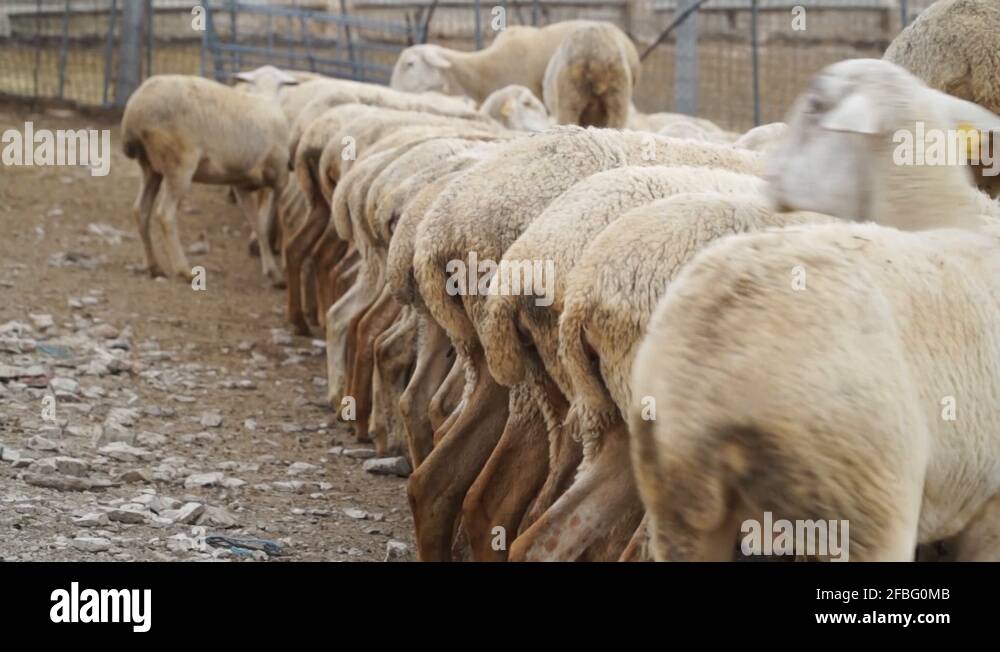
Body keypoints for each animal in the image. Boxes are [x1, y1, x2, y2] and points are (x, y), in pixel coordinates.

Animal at [121, 73, 296, 285]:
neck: (266, 98)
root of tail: (135, 110)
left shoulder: (242, 185)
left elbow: (258, 224)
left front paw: (269, 267)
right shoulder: (279, 177)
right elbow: (269, 220)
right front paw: (275, 272)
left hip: (151, 167)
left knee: (140, 210)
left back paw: (155, 267)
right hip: (179, 163)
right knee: (165, 215)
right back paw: (184, 270)